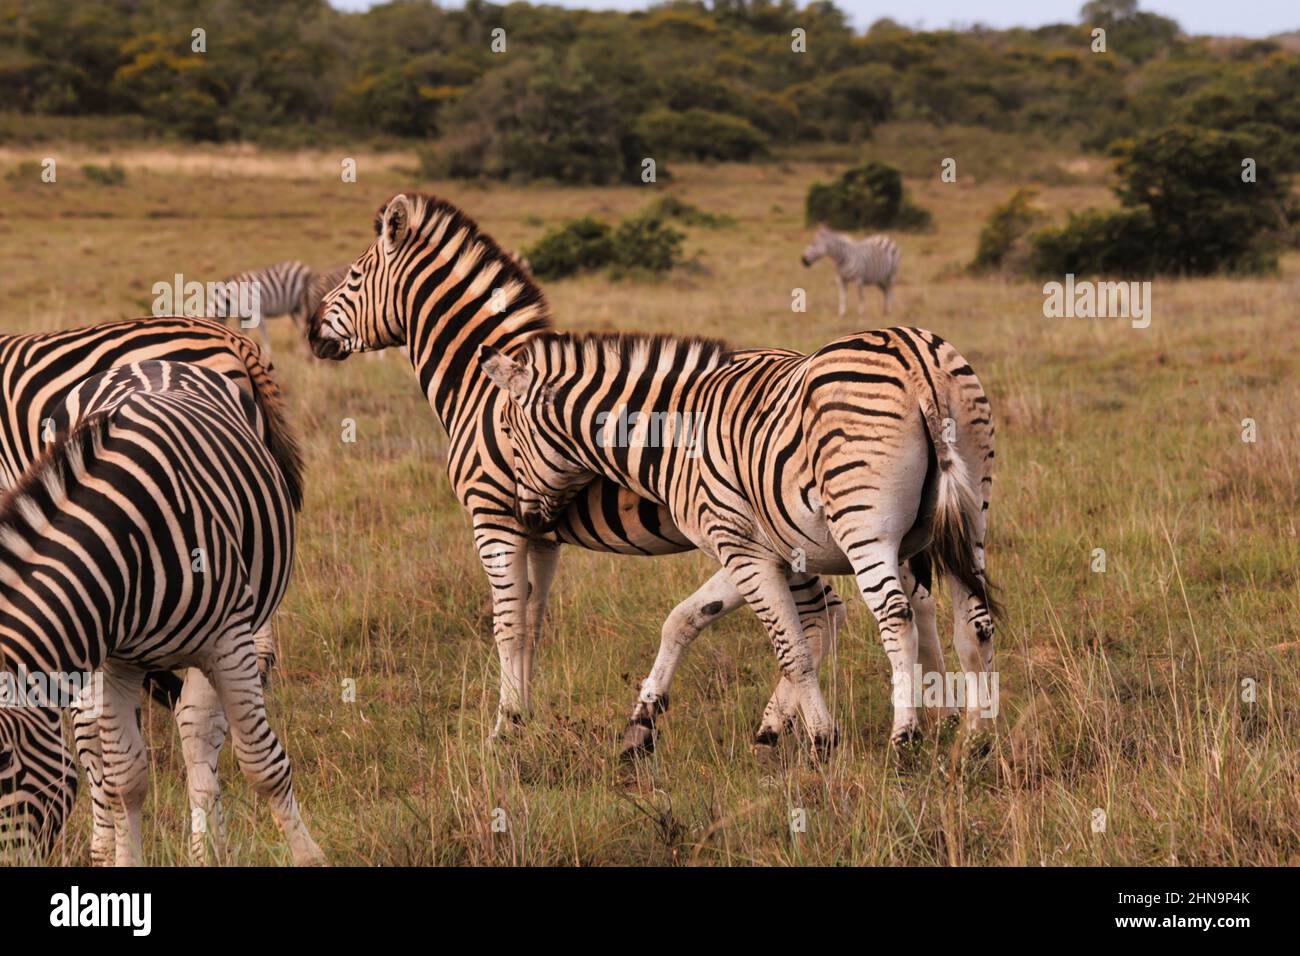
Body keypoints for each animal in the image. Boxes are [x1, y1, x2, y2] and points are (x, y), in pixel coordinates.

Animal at [480, 327, 1001, 745]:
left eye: (505, 428)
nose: (525, 518)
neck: (675, 439)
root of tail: (916, 359)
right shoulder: (748, 548)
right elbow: (684, 619)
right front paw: (643, 723)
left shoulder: (742, 548)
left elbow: (791, 647)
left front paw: (821, 736)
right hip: (970, 511)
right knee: (973, 621)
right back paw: (975, 738)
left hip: (865, 526)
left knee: (896, 615)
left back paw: (904, 737)